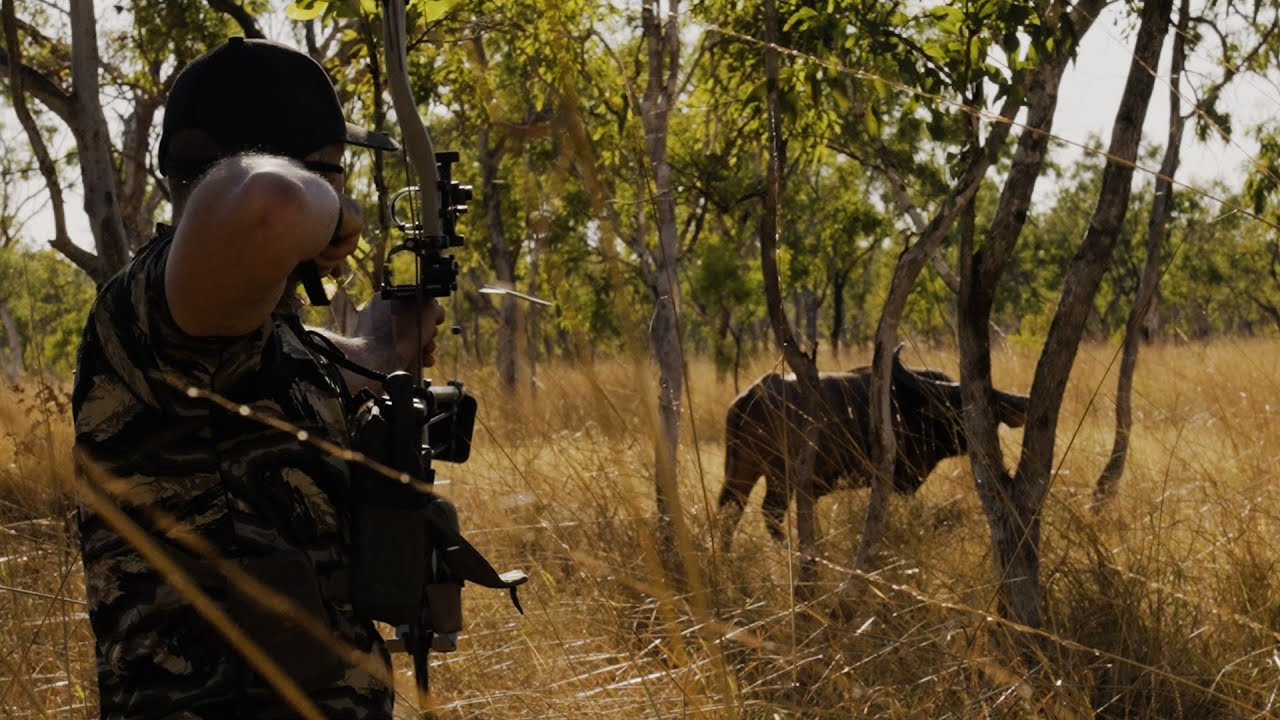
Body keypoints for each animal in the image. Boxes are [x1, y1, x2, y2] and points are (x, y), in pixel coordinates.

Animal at [717, 351, 1029, 548]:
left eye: (991, 413)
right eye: (959, 408)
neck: (908, 405)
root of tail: (749, 398)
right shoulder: (899, 481)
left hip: (741, 472)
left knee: (729, 512)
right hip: (777, 476)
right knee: (769, 513)